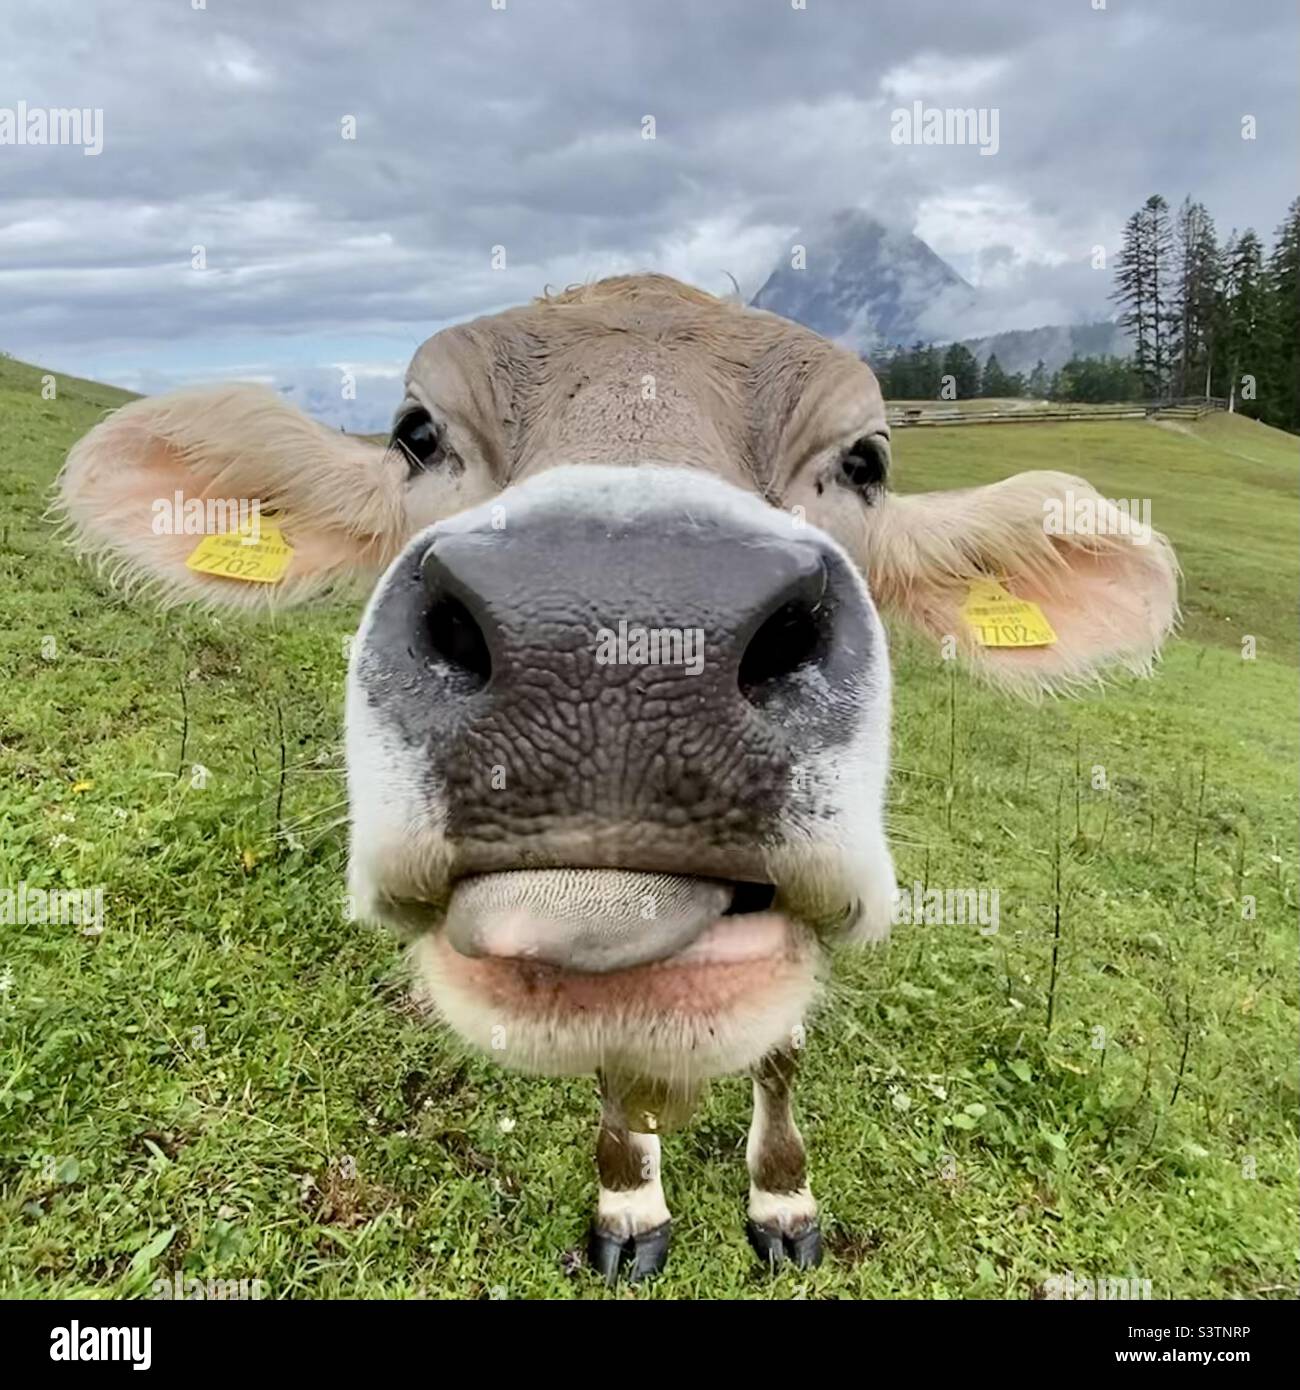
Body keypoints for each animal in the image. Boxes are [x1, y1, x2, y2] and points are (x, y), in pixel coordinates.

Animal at [57, 274, 1178, 1284]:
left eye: (865, 459)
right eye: (416, 434)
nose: (616, 640)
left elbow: (782, 1052)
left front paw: (783, 1201)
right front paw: (629, 1206)